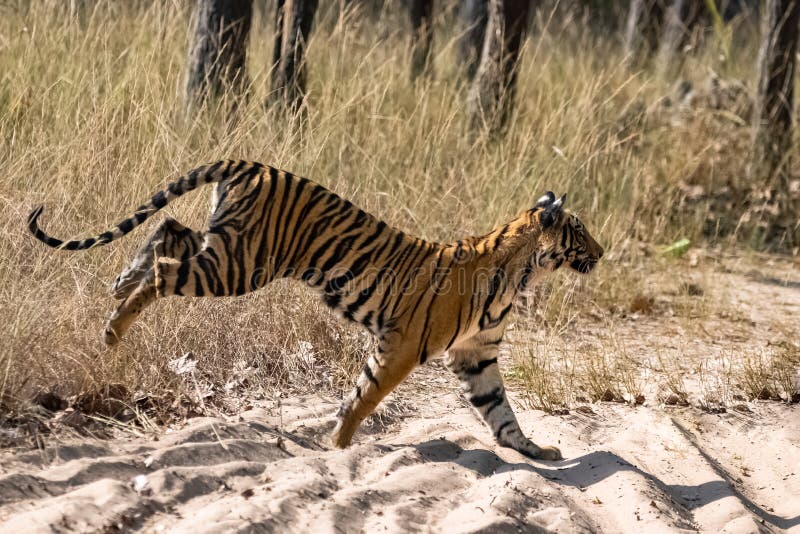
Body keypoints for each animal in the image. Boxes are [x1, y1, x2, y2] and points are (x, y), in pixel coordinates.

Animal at [28, 160, 604, 460]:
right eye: (579, 232)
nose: (601, 253)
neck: (520, 274)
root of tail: (249, 163)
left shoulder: (476, 356)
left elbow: (502, 412)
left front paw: (535, 451)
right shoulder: (401, 346)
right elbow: (365, 396)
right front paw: (339, 446)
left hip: (227, 248)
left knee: (168, 231)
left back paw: (119, 283)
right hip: (241, 265)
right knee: (166, 267)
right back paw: (112, 328)